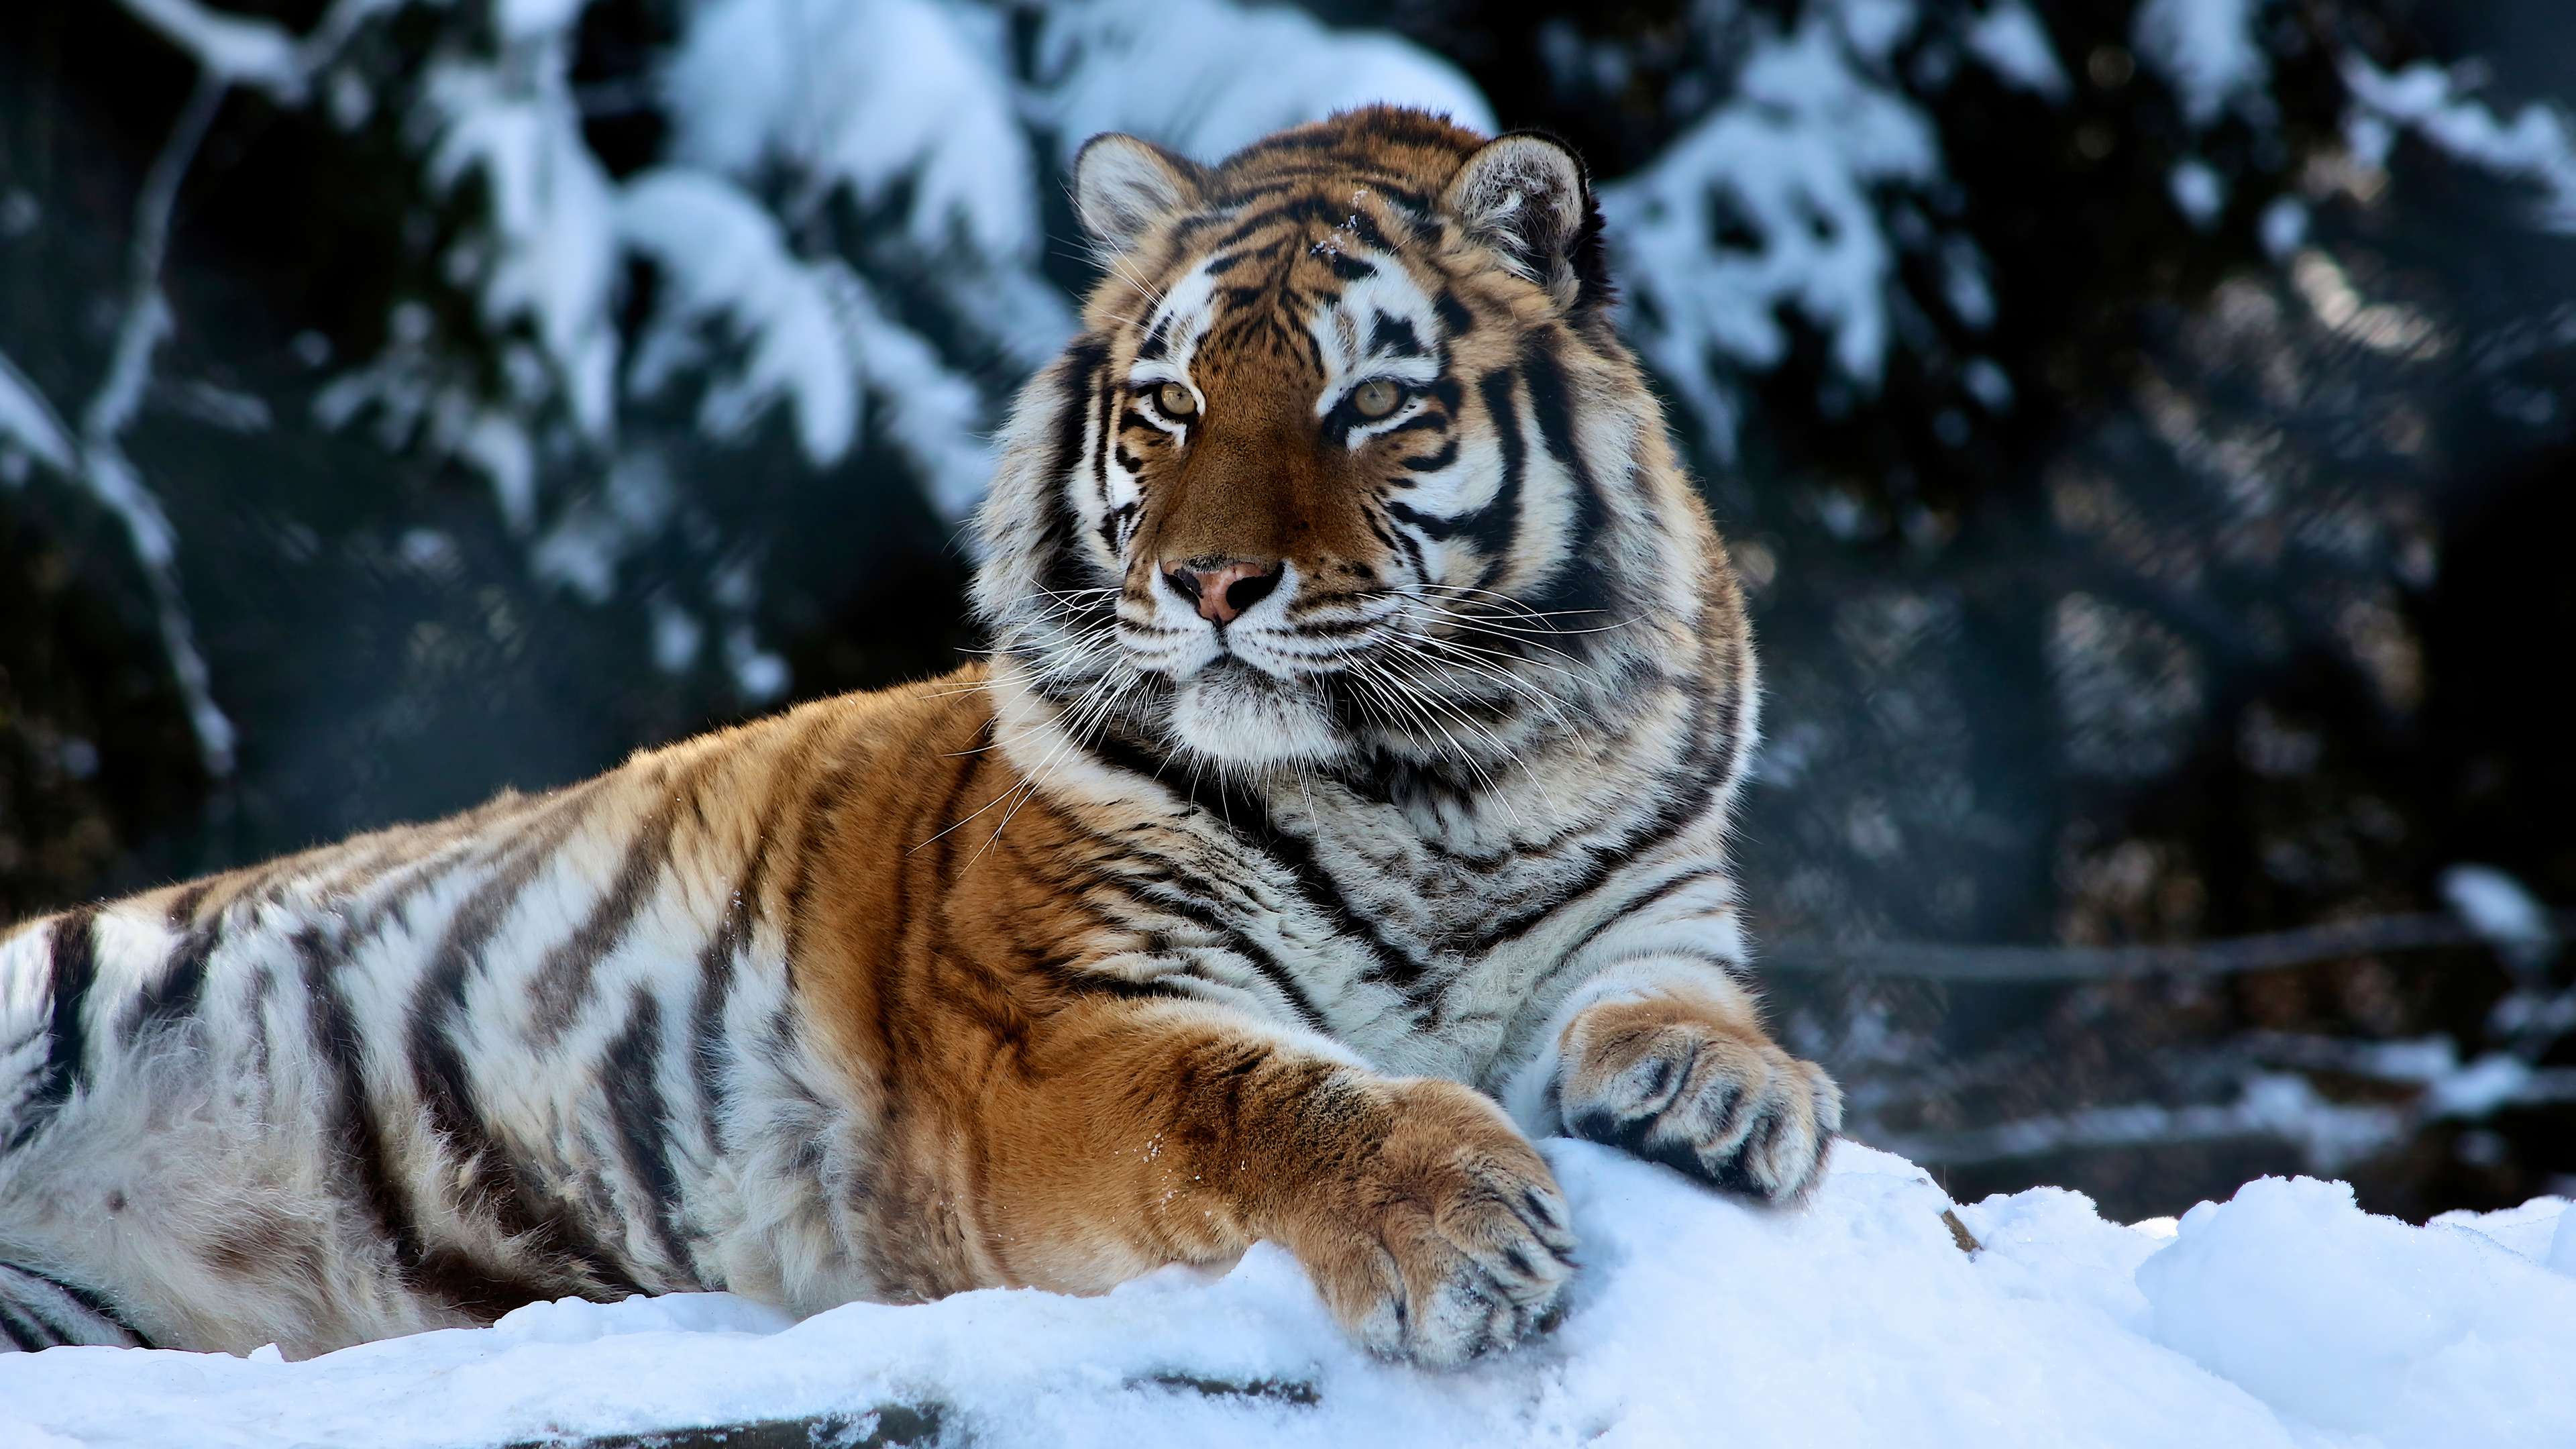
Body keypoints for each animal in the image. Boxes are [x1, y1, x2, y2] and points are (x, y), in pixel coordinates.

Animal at [0, 106, 1839, 1369]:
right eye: (1172, 406)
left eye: (1368, 404)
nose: (1210, 580)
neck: (1430, 777)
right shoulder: (1048, 1031)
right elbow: (1252, 1097)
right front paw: (1453, 1220)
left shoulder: (1649, 910)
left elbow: (1680, 999)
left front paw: (1727, 1089)